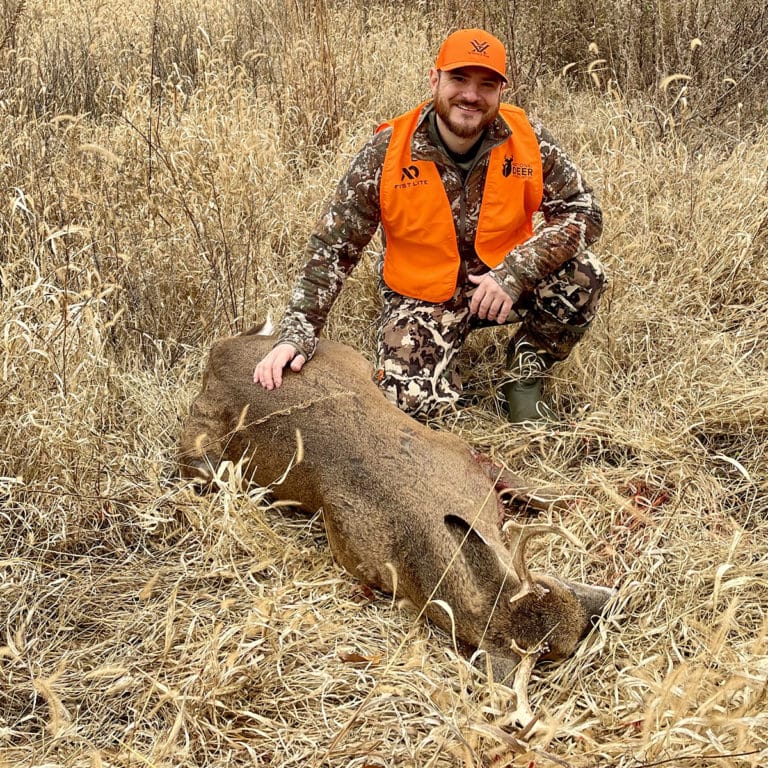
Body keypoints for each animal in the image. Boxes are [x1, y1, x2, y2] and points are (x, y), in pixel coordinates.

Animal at [178, 325, 614, 729]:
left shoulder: (463, 454)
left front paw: (579, 496)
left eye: (547, 584)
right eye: (550, 654)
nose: (605, 602)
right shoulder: (354, 548)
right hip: (202, 458)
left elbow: (540, 492)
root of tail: (218, 351)